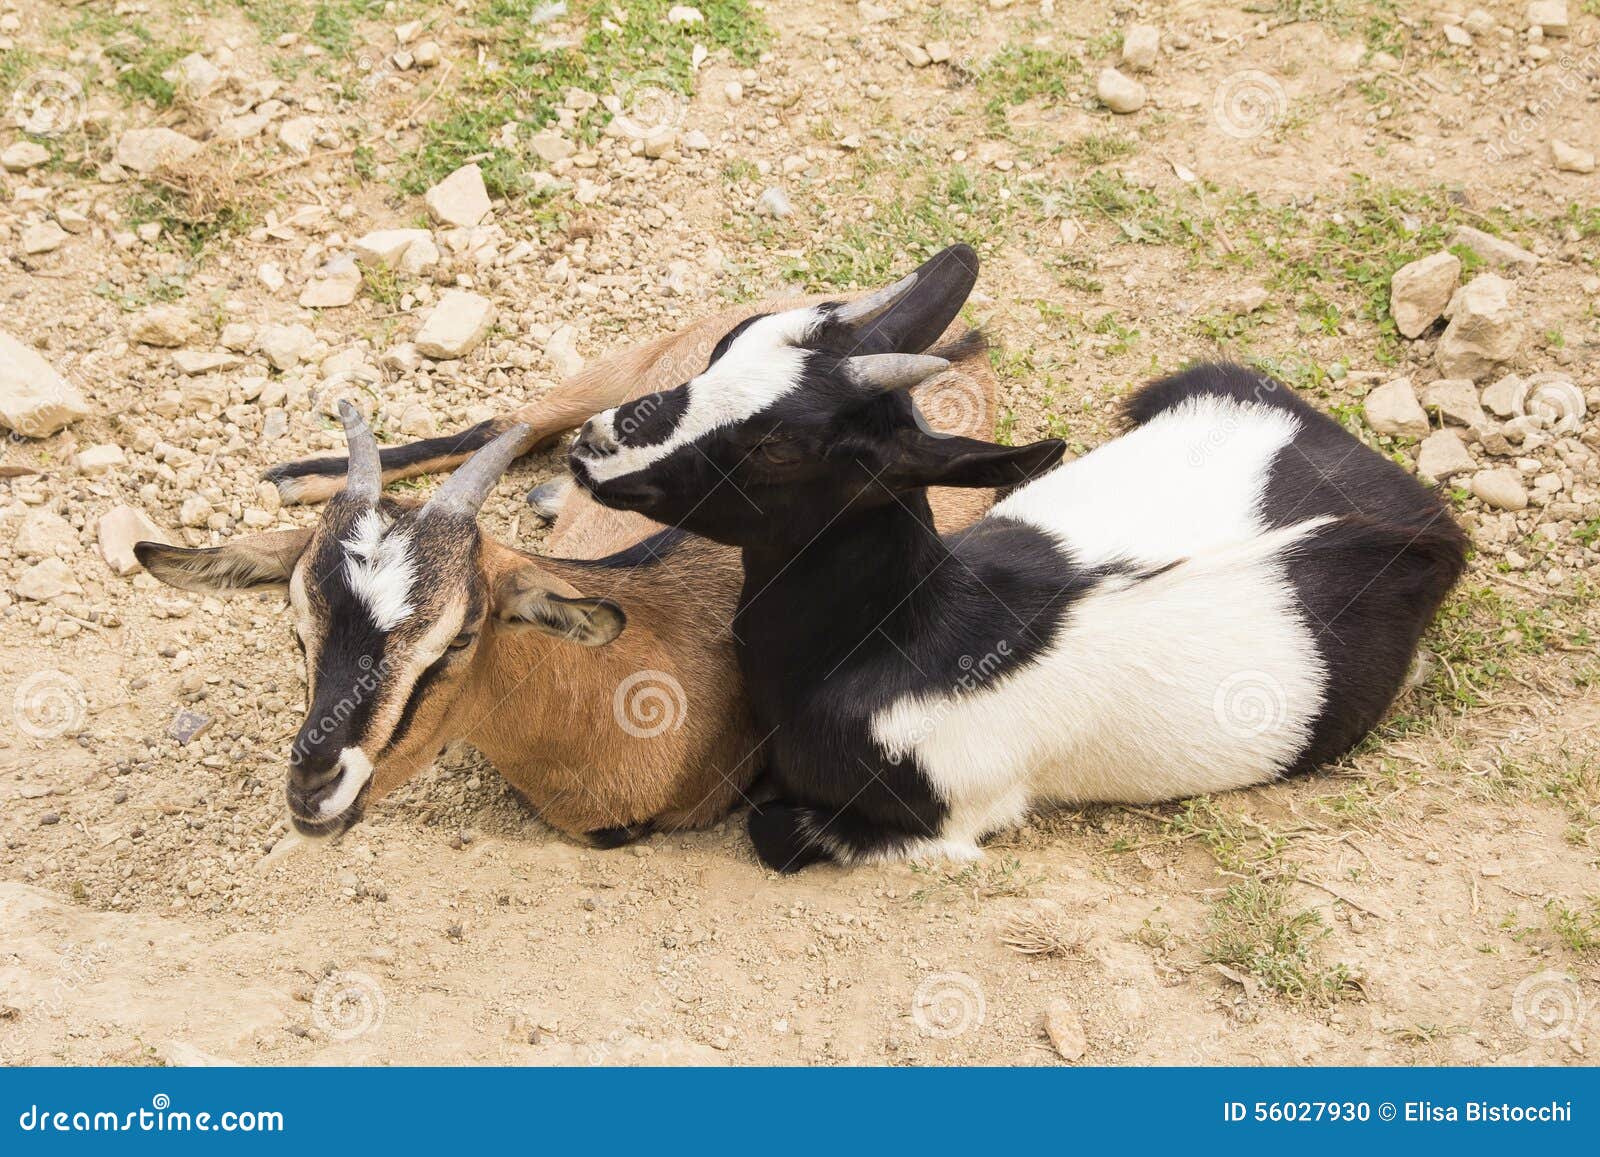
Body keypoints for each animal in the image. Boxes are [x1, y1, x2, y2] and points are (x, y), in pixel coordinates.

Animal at [133, 299, 1000, 845]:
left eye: (459, 636)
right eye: (297, 630)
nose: (316, 786)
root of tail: (956, 341)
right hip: (621, 369)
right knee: (511, 420)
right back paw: (298, 475)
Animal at [568, 243, 1469, 872]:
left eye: (779, 447)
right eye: (727, 344)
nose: (594, 445)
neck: (903, 641)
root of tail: (1422, 525)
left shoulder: (946, 820)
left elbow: (772, 828)